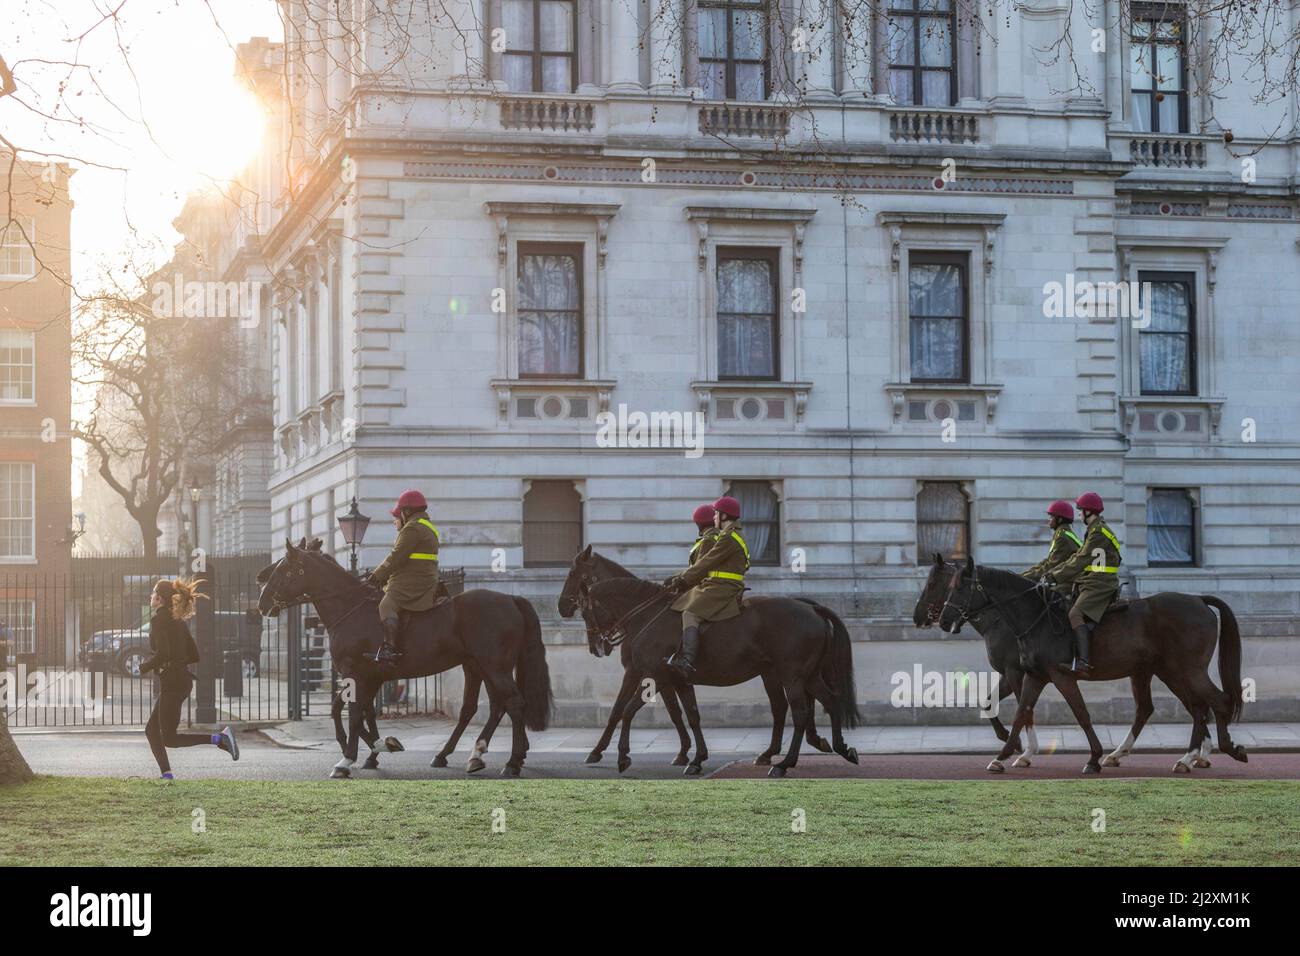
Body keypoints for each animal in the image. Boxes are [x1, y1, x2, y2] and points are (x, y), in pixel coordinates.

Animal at [258, 539, 553, 777]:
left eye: (284, 570)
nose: (261, 602)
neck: (351, 608)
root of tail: (511, 598)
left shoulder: (356, 673)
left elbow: (352, 712)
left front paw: (348, 759)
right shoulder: (370, 676)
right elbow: (351, 710)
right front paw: (377, 747)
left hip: (494, 667)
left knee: (512, 703)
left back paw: (511, 762)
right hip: (479, 666)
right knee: (489, 707)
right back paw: (466, 754)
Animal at [558, 545, 841, 769]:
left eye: (572, 574)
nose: (561, 607)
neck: (646, 615)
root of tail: (811, 608)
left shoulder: (651, 675)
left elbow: (626, 710)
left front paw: (618, 755)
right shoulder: (674, 679)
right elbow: (687, 714)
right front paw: (692, 756)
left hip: (791, 675)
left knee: (798, 710)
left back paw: (786, 760)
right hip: (790, 674)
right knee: (807, 703)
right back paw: (822, 748)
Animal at [936, 556, 1246, 774]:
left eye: (959, 587)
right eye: (946, 586)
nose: (942, 620)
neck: (1034, 617)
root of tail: (1198, 599)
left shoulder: (1060, 675)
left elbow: (1081, 713)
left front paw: (1093, 757)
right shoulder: (1035, 676)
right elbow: (1023, 712)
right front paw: (1004, 755)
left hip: (1185, 671)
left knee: (1216, 701)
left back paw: (1221, 750)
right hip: (1166, 671)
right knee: (1185, 707)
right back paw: (1181, 756)